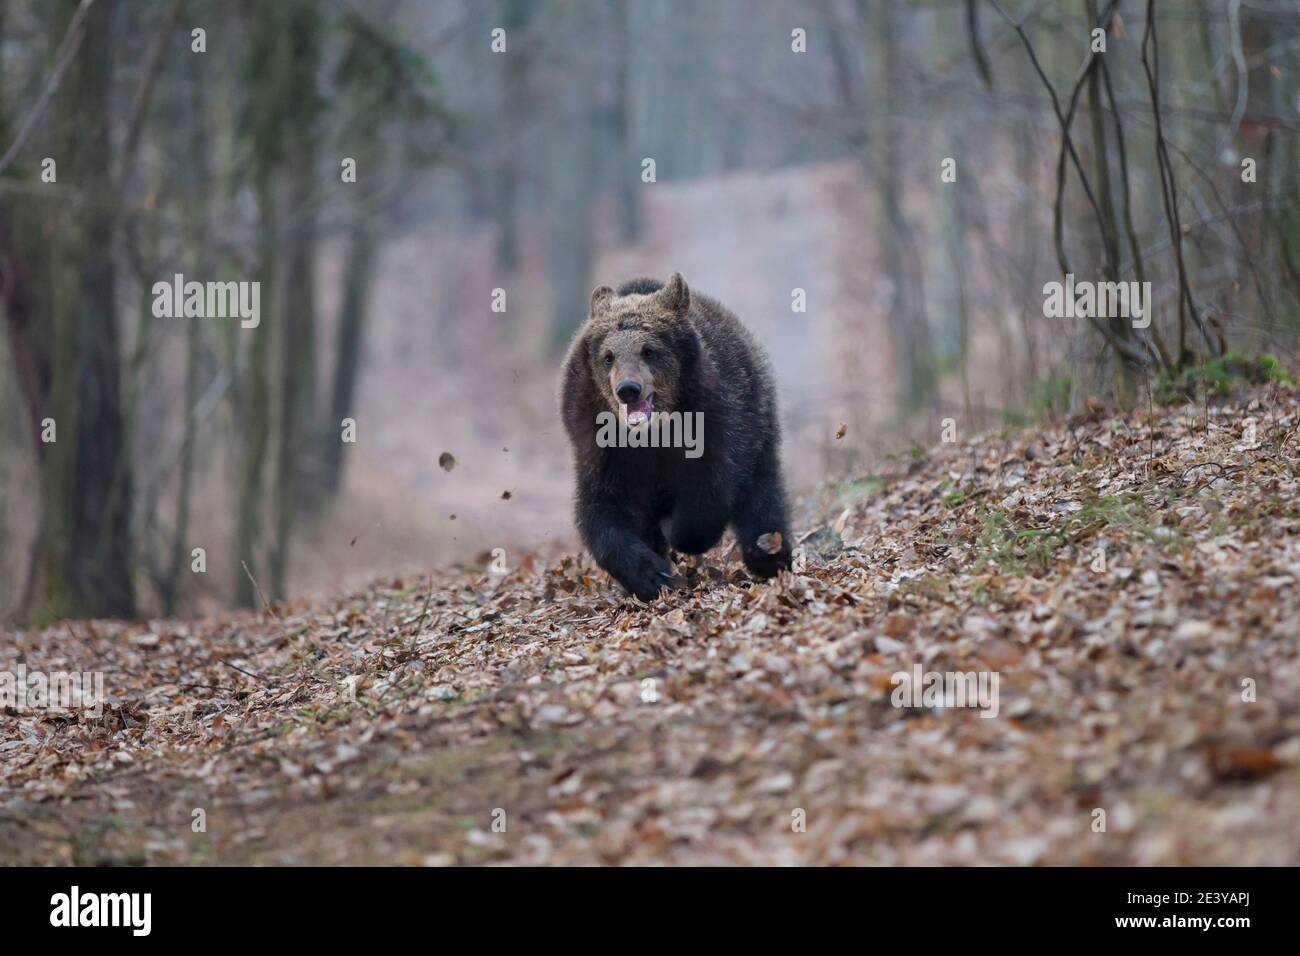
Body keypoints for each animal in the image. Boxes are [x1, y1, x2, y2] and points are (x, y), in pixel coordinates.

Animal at [559, 272, 793, 601]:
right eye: (608, 356)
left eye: (648, 350)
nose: (628, 389)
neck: (652, 436)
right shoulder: (599, 446)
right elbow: (602, 511)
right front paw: (651, 575)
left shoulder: (715, 422)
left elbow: (710, 490)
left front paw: (681, 535)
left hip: (757, 413)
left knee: (762, 490)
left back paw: (769, 554)